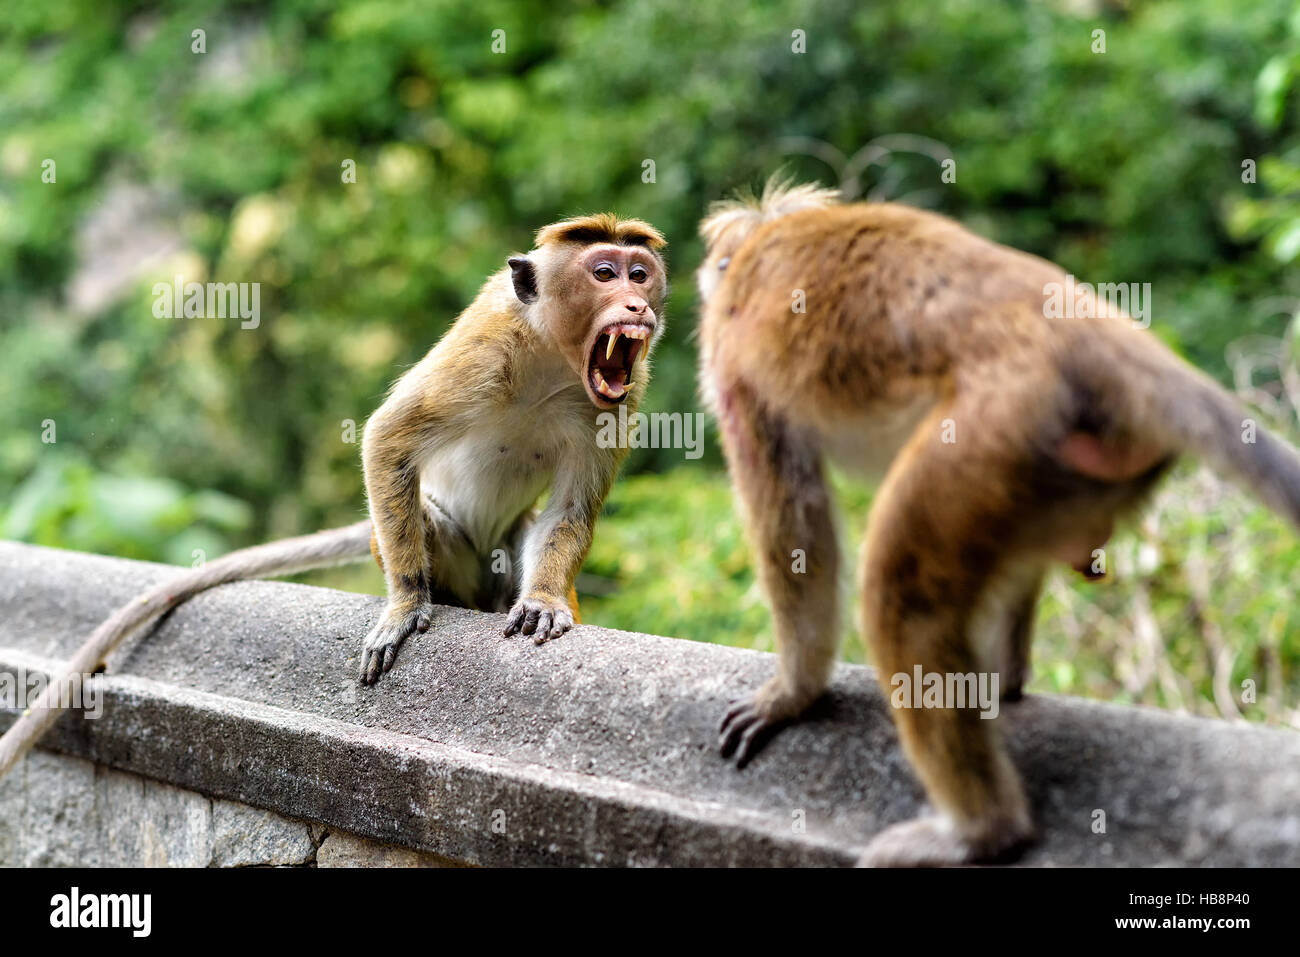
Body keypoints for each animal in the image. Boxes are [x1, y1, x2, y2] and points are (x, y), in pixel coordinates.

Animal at [0, 213, 667, 780]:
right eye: (603, 273)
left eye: (639, 273)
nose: (637, 304)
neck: (553, 356)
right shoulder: (481, 353)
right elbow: (387, 438)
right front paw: (405, 606)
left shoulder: (619, 398)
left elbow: (569, 512)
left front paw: (547, 602)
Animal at [696, 178, 1300, 867]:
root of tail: (1089, 332)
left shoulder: (735, 372)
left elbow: (794, 527)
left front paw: (791, 694)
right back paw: (1000, 688)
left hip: (988, 433)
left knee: (902, 598)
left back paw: (980, 831)